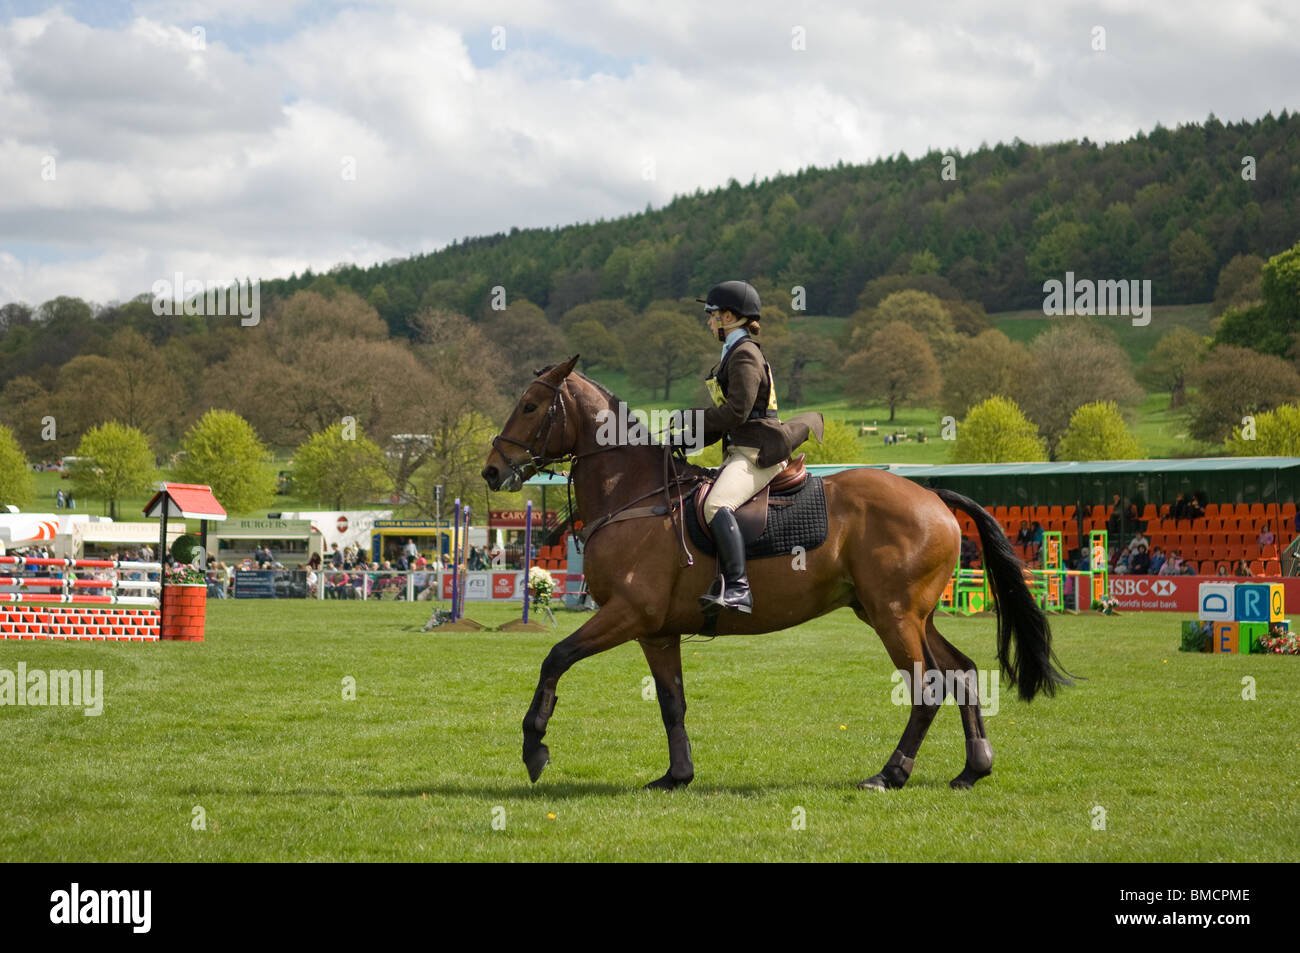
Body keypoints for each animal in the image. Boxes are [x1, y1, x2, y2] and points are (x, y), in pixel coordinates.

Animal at [481, 356, 1071, 791]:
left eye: (530, 406)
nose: (491, 470)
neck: (636, 496)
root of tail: (933, 496)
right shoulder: (656, 630)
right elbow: (672, 702)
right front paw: (677, 776)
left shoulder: (626, 614)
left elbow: (555, 658)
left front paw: (534, 746)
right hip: (903, 614)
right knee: (961, 673)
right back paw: (973, 768)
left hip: (894, 616)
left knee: (927, 686)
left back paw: (890, 774)